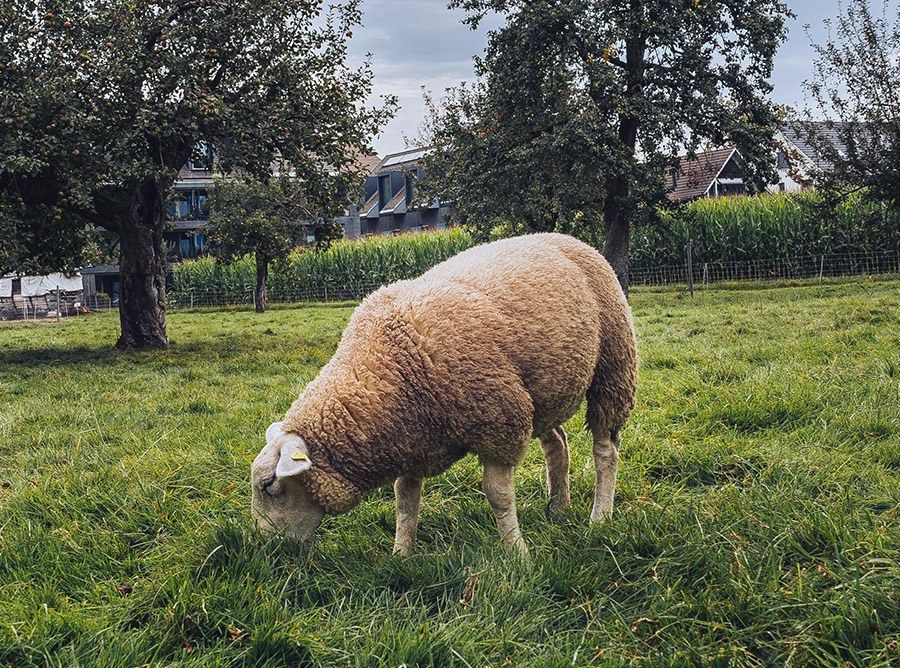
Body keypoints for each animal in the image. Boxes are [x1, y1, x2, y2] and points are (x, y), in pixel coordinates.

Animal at [250, 232, 636, 556]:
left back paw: (599, 517)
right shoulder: (412, 443)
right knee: (557, 443)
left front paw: (517, 554)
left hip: (614, 366)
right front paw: (401, 554)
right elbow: (405, 501)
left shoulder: (499, 424)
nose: (266, 550)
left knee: (605, 450)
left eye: (268, 484)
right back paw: (557, 508)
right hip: (540, 391)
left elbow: (498, 497)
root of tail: (569, 239)